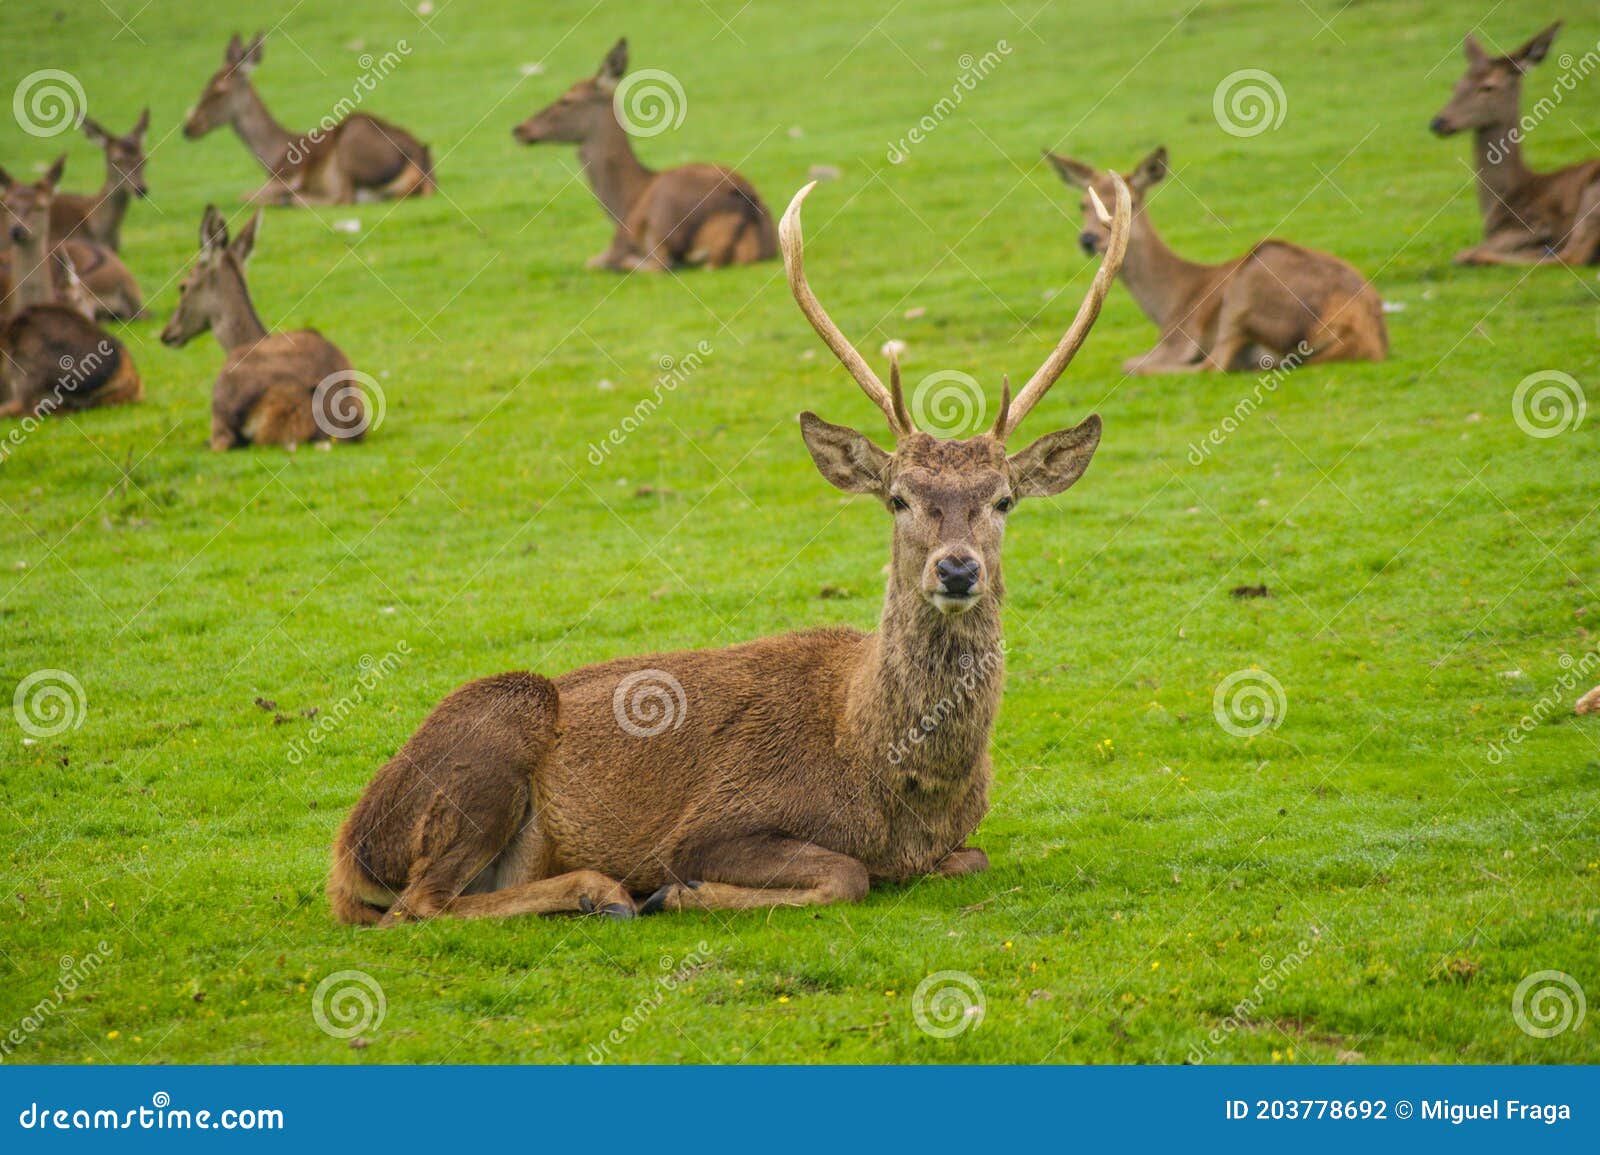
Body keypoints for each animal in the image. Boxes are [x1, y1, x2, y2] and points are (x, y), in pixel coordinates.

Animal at [183, 33, 435, 206]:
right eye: (205, 86)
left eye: (218, 90)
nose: (189, 127)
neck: (273, 156)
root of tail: (423, 164)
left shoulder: (289, 176)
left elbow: (244, 195)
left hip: (351, 145)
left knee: (343, 197)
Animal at [325, 176, 1131, 926]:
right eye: (898, 497)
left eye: (1004, 499)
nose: (958, 568)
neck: (892, 785)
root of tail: (348, 849)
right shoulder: (710, 823)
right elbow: (846, 873)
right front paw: (674, 893)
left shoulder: (952, 843)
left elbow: (971, 857)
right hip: (496, 726)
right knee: (418, 903)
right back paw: (604, 892)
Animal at [512, 38, 777, 271]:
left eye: (566, 100)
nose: (520, 128)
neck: (623, 202)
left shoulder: (618, 241)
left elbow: (592, 262)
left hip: (663, 219)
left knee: (661, 264)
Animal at [1048, 147, 1387, 374]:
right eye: (1082, 204)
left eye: (1128, 201)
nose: (1088, 239)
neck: (1167, 304)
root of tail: (1364, 333)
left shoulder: (1178, 340)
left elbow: (1130, 363)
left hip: (1247, 287)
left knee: (1212, 365)